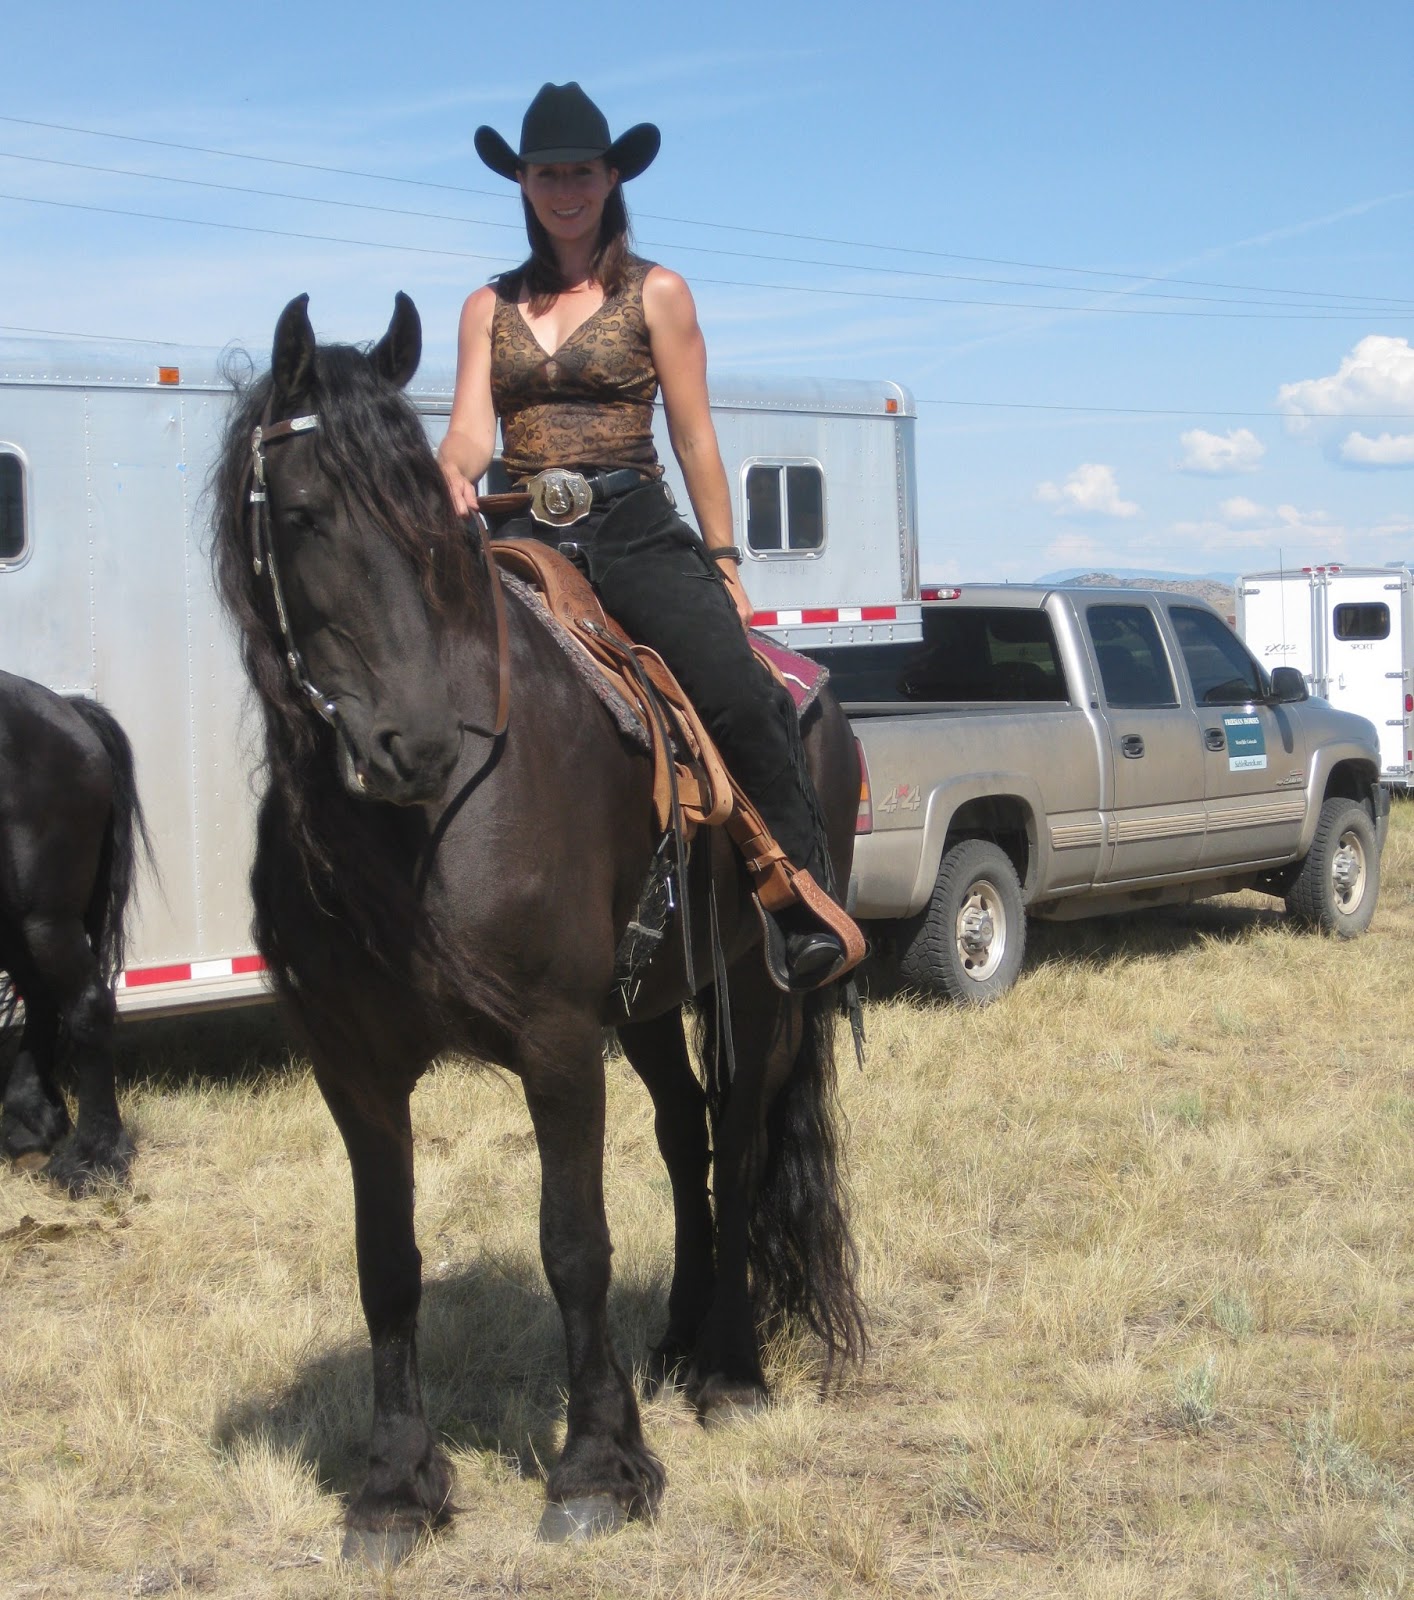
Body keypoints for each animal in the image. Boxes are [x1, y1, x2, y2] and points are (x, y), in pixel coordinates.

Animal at [0, 671, 152, 1194]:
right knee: (44, 998)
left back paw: (95, 1156)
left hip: (43, 914)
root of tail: (66, 712)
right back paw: (30, 1123)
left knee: (86, 1004)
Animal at [211, 292, 865, 1561]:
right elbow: (386, 1260)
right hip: (651, 1003)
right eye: (304, 515)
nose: (415, 744)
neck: (415, 832)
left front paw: (598, 1467)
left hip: (763, 992)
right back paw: (678, 1337)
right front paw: (395, 1485)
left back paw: (728, 1366)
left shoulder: (557, 1043)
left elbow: (574, 1242)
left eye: (432, 525)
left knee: (740, 1141)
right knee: (686, 1139)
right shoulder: (354, 1069)